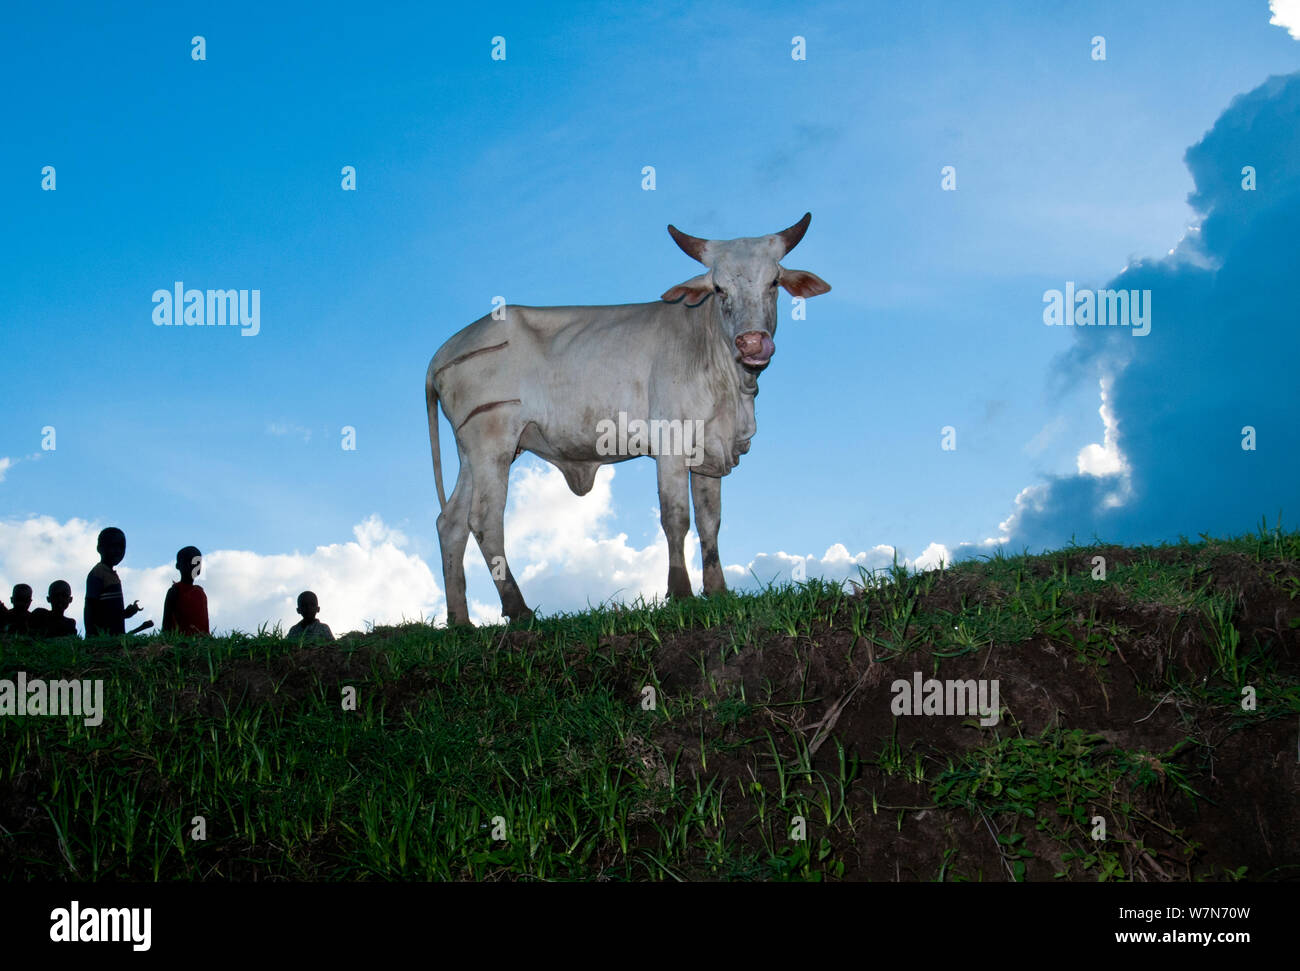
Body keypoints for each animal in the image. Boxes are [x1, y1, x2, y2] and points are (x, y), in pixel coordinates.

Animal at [425, 213, 831, 625]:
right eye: (719, 288)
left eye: (774, 282)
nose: (752, 343)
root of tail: (443, 351)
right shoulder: (671, 444)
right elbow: (676, 517)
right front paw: (680, 592)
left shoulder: (708, 451)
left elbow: (710, 521)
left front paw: (717, 591)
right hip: (493, 441)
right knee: (485, 519)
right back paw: (518, 608)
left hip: (473, 454)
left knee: (451, 522)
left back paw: (460, 621)